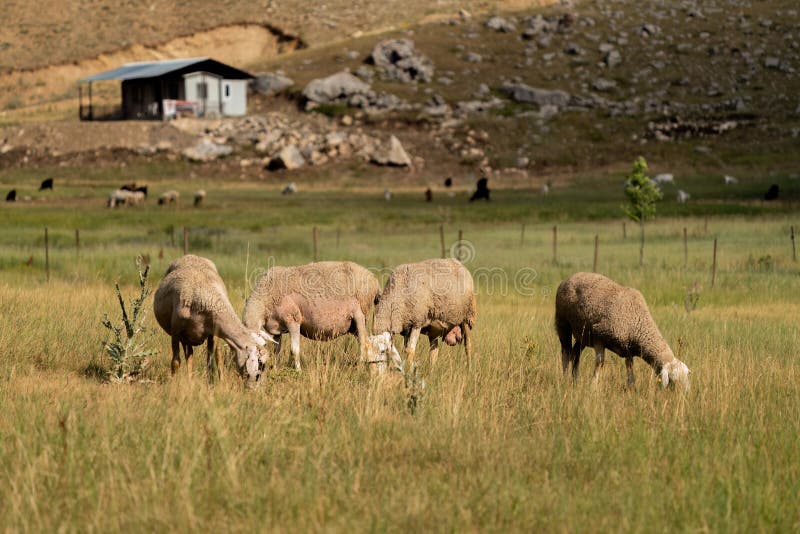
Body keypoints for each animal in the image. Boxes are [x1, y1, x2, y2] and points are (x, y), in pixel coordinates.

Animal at [154, 254, 275, 387]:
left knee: (217, 356)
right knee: (189, 357)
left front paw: (211, 385)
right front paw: (172, 386)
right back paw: (191, 384)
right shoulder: (175, 332)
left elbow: (211, 363)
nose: (260, 389)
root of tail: (191, 255)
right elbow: (175, 362)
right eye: (261, 366)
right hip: (187, 337)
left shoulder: (211, 334)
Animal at [243, 261, 380, 372]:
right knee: (369, 343)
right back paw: (372, 370)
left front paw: (298, 371)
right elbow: (277, 350)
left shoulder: (293, 319)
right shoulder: (277, 328)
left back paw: (360, 368)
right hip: (353, 325)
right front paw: (276, 370)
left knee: (365, 344)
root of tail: (374, 279)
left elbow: (294, 350)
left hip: (360, 314)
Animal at [555, 272, 690, 389]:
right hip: (563, 323)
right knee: (566, 352)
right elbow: (600, 363)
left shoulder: (627, 348)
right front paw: (593, 386)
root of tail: (572, 276)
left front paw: (631, 388)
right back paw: (565, 379)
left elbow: (629, 369)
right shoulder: (599, 337)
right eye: (672, 380)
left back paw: (575, 379)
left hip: (582, 333)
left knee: (575, 354)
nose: (682, 397)